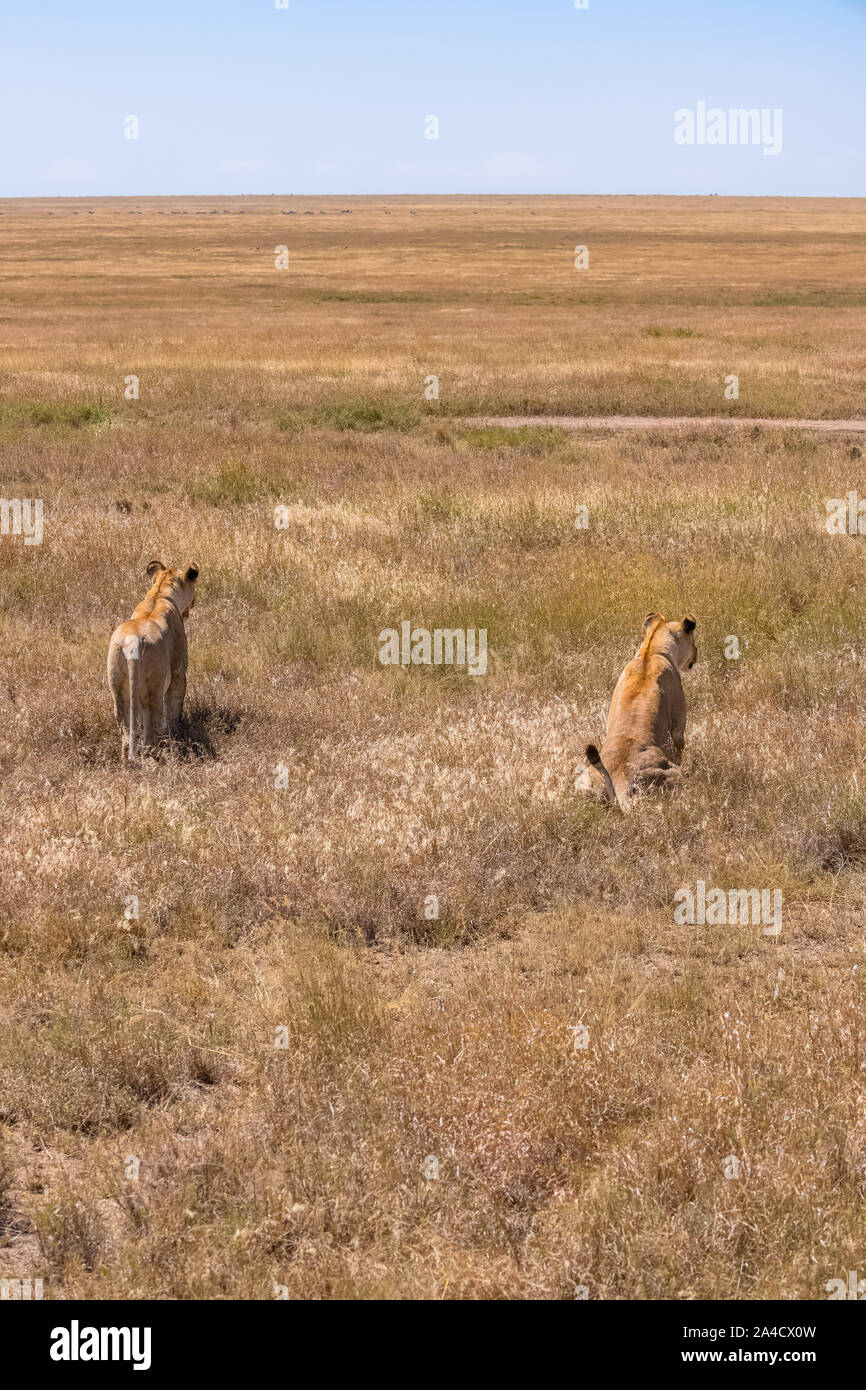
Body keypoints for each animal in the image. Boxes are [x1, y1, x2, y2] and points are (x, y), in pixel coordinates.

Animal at [107, 560, 199, 763]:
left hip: (118, 688)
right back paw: (155, 759)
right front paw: (176, 732)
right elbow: (174, 707)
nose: (194, 602)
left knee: (126, 732)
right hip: (153, 688)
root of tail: (133, 642)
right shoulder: (179, 672)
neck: (159, 594)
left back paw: (128, 761)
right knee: (151, 732)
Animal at [582, 613, 697, 811]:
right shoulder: (678, 729)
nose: (696, 654)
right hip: (674, 775)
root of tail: (619, 780)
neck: (650, 651)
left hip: (582, 783)